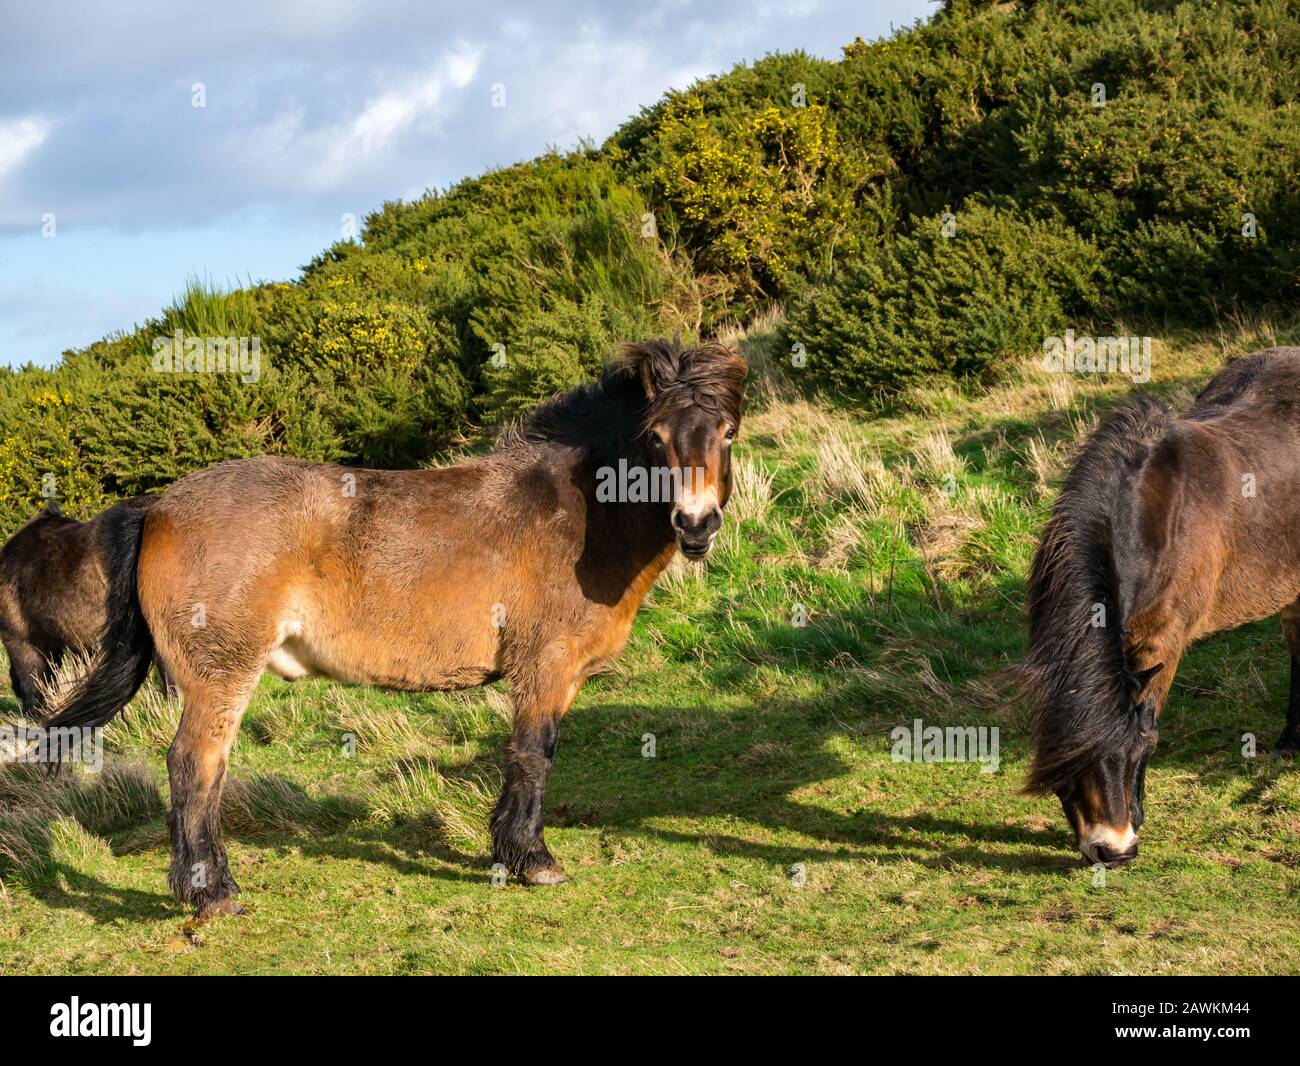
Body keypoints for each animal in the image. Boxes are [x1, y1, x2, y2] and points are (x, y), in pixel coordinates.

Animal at [45, 338, 747, 916]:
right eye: (655, 438)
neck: (576, 515)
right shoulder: (544, 670)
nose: (696, 525)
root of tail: (158, 504)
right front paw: (533, 860)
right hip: (221, 677)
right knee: (196, 767)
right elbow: (534, 754)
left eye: (729, 433)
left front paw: (506, 848)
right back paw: (211, 893)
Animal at [1021, 346, 1300, 869]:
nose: (1113, 850)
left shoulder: (1161, 640)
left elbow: (1148, 721)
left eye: (1131, 754)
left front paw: (1138, 813)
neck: (1152, 523)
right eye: (1071, 760)